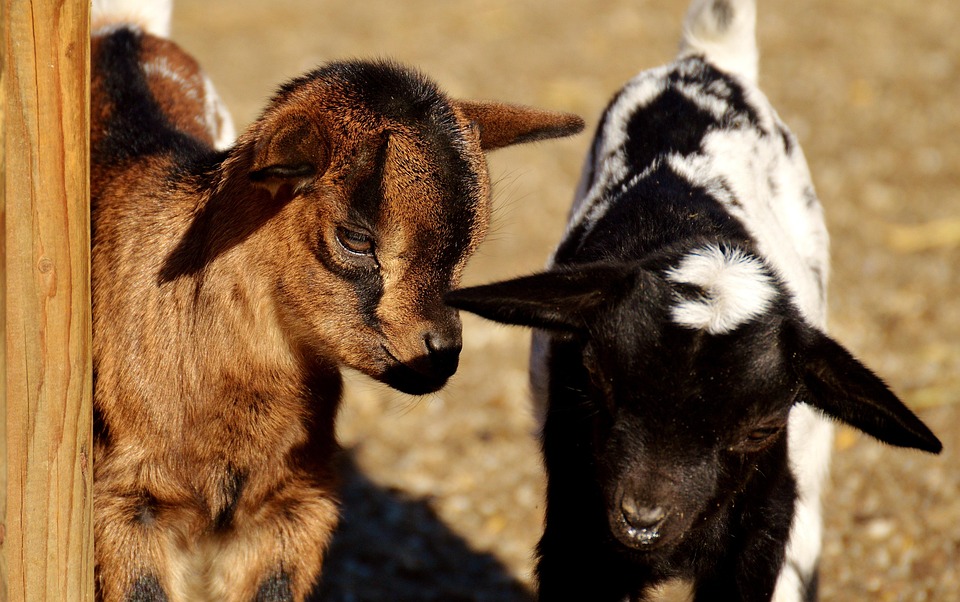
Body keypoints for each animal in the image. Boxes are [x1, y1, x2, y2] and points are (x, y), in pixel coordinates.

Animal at [90, 1, 583, 600]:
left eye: (472, 244)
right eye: (355, 238)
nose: (441, 351)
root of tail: (121, 30)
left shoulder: (292, 505)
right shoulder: (125, 503)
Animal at [446, 0, 942, 600]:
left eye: (762, 427)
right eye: (597, 382)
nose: (642, 520)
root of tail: (705, 58)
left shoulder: (763, 523)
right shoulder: (576, 522)